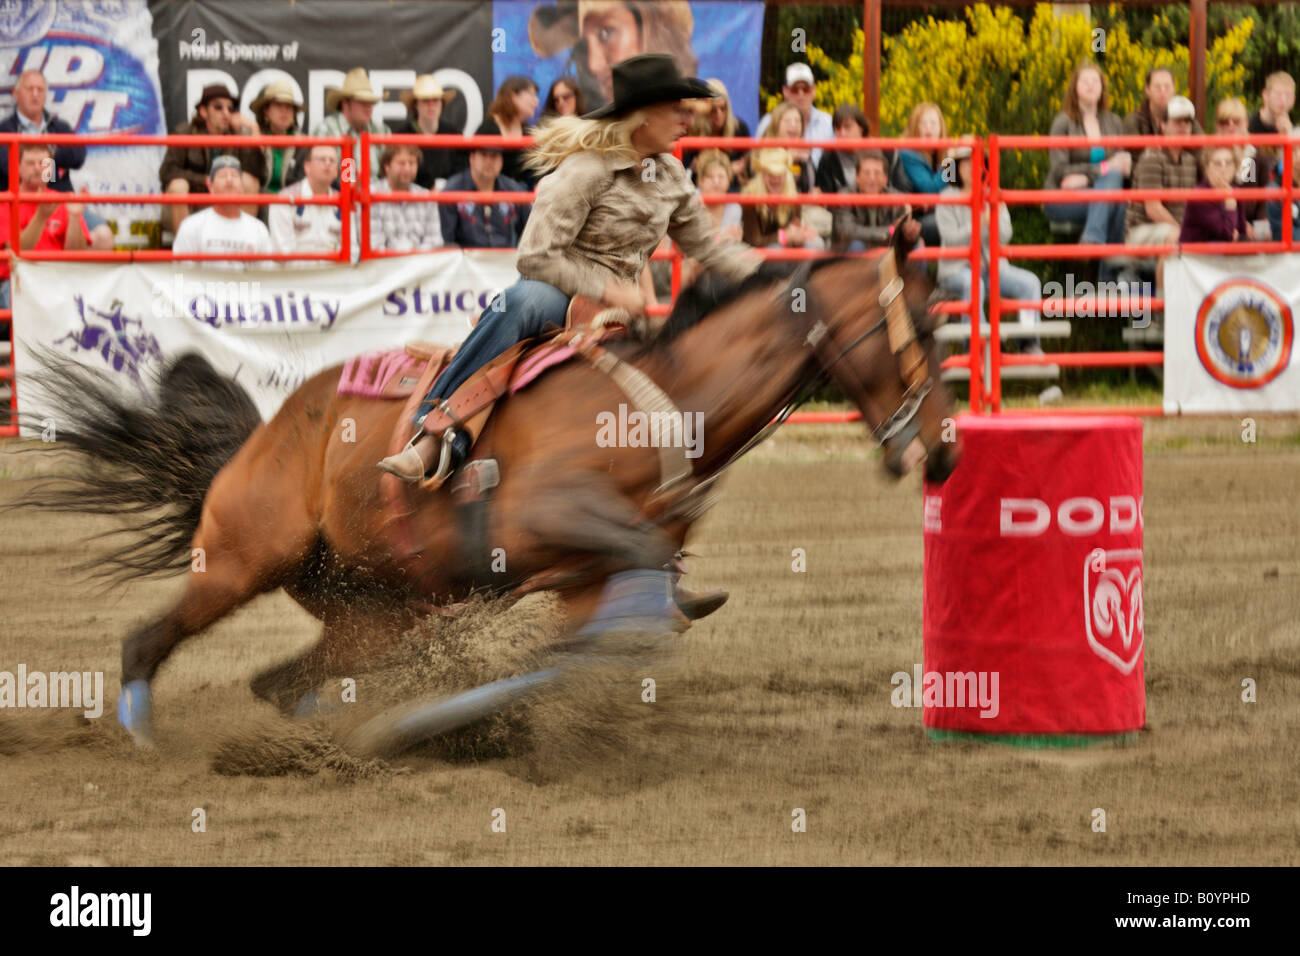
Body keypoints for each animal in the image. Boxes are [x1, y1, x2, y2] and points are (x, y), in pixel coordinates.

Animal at [20, 235, 961, 746]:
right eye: (921, 324)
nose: (945, 452)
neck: (662, 402)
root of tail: (264, 434)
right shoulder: (557, 521)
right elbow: (632, 605)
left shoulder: (588, 579)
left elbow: (601, 634)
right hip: (240, 561)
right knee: (146, 643)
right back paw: (150, 740)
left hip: (374, 614)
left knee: (281, 684)